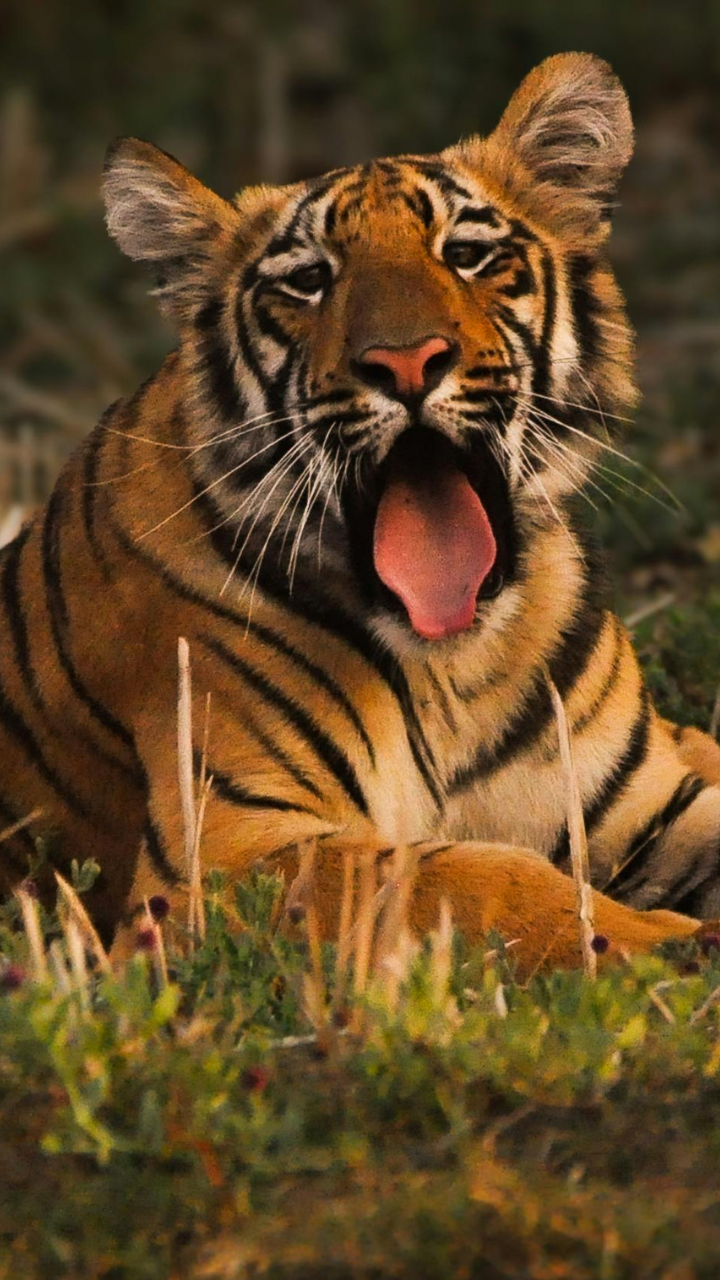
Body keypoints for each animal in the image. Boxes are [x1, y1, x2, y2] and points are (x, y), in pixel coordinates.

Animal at [1, 52, 719, 973]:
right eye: (311, 280)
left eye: (468, 254)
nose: (407, 362)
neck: (459, 666)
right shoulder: (222, 862)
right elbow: (473, 875)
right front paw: (672, 944)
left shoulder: (648, 802)